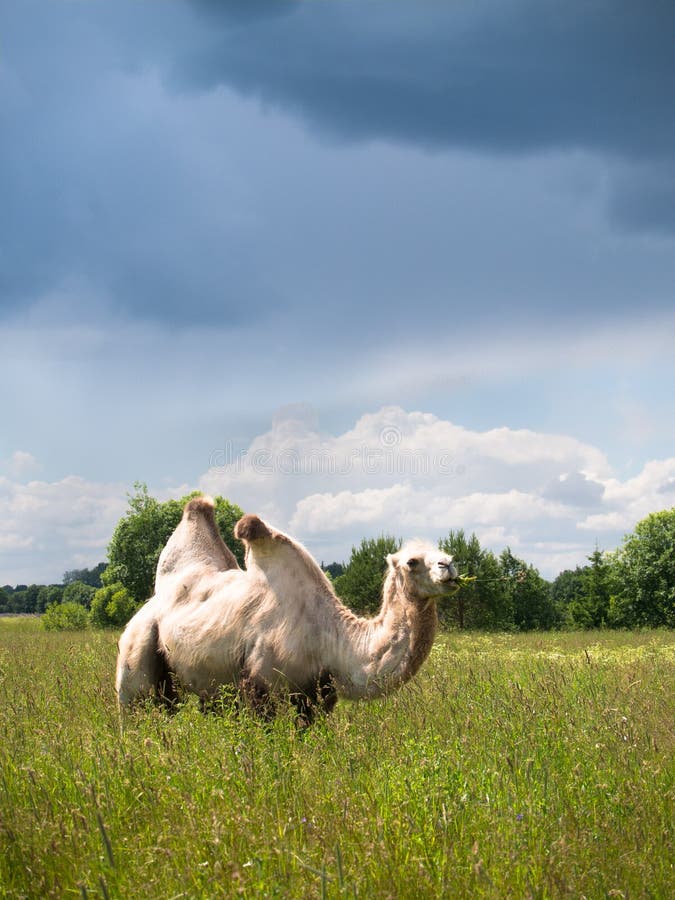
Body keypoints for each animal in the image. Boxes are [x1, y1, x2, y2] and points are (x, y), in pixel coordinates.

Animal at [116, 496, 460, 722]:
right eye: (412, 561)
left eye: (446, 554)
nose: (450, 567)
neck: (330, 637)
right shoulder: (259, 684)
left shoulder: (317, 694)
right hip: (137, 655)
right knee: (138, 711)